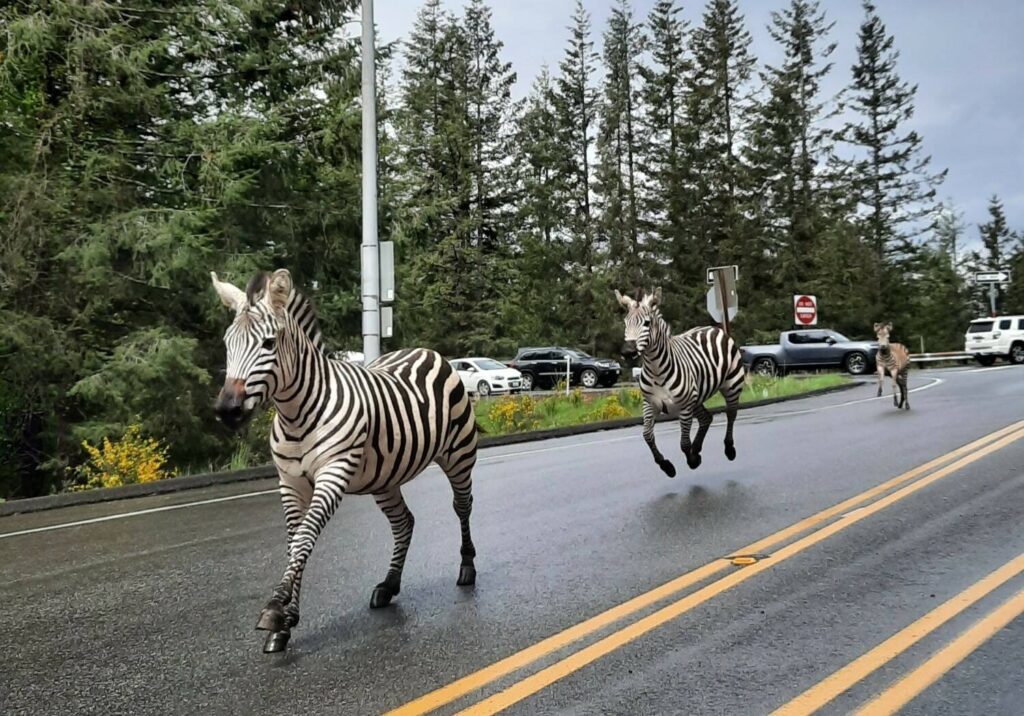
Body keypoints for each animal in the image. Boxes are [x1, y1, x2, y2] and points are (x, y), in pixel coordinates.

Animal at [211, 269, 479, 653]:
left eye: (268, 344)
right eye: (227, 344)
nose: (227, 410)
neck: (296, 416)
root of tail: (425, 351)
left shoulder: (332, 474)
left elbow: (305, 538)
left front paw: (275, 609)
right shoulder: (289, 482)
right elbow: (295, 544)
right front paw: (286, 623)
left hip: (459, 454)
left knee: (462, 506)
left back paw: (467, 568)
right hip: (385, 477)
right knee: (404, 522)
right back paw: (389, 584)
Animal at [615, 288, 745, 477]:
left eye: (647, 323)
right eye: (625, 323)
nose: (628, 353)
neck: (655, 369)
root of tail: (713, 327)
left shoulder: (684, 407)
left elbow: (684, 443)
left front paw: (693, 461)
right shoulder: (649, 403)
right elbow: (647, 435)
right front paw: (666, 465)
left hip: (731, 385)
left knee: (731, 414)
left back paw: (729, 449)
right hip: (696, 397)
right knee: (707, 418)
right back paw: (697, 448)